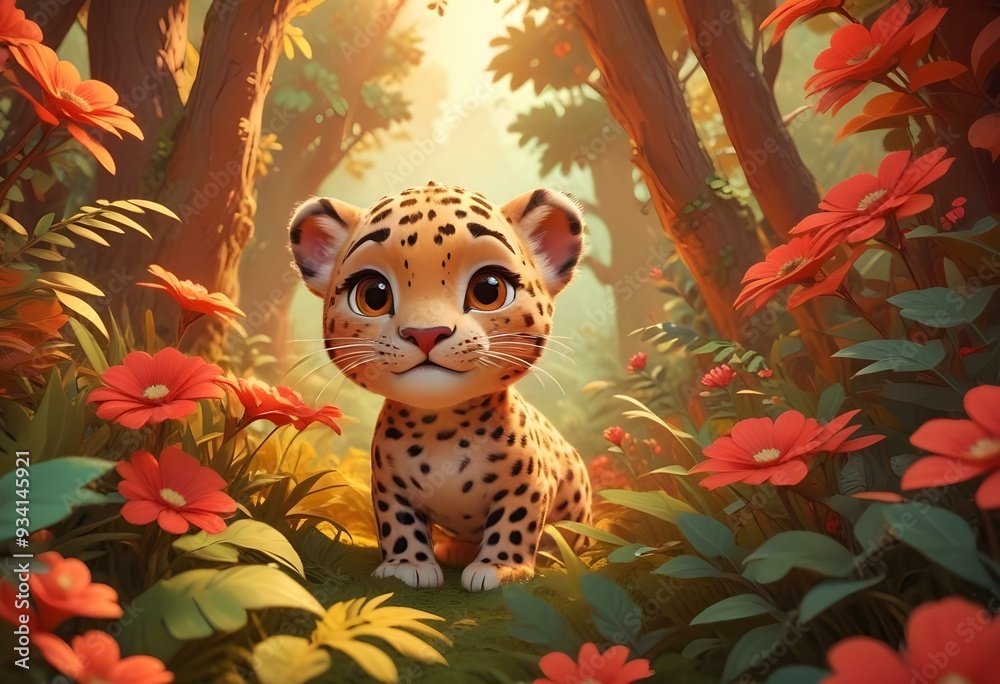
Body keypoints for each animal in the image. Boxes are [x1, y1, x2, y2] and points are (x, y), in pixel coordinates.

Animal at [287, 182, 592, 592]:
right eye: (374, 294)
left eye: (488, 289)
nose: (426, 333)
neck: (443, 425)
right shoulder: (389, 487)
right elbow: (398, 524)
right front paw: (406, 566)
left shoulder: (528, 485)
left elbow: (515, 523)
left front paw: (501, 569)